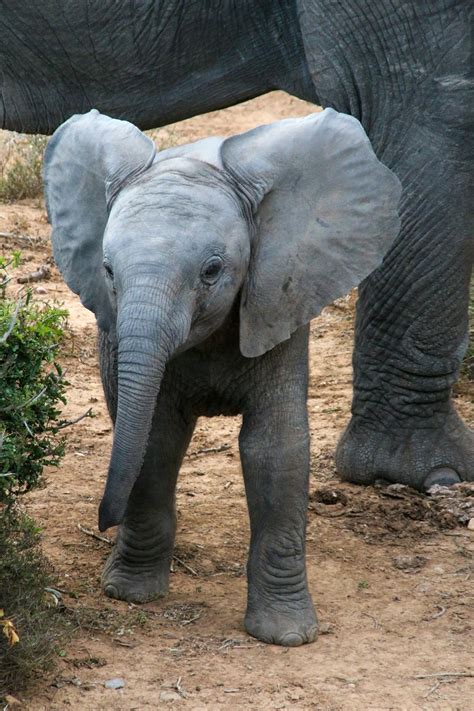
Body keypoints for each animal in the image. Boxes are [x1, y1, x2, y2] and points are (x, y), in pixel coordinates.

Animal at [44, 108, 401, 645]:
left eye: (212, 271)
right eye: (107, 270)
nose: (104, 521)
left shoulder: (279, 296)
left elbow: (275, 450)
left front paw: (285, 636)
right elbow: (157, 440)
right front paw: (130, 594)